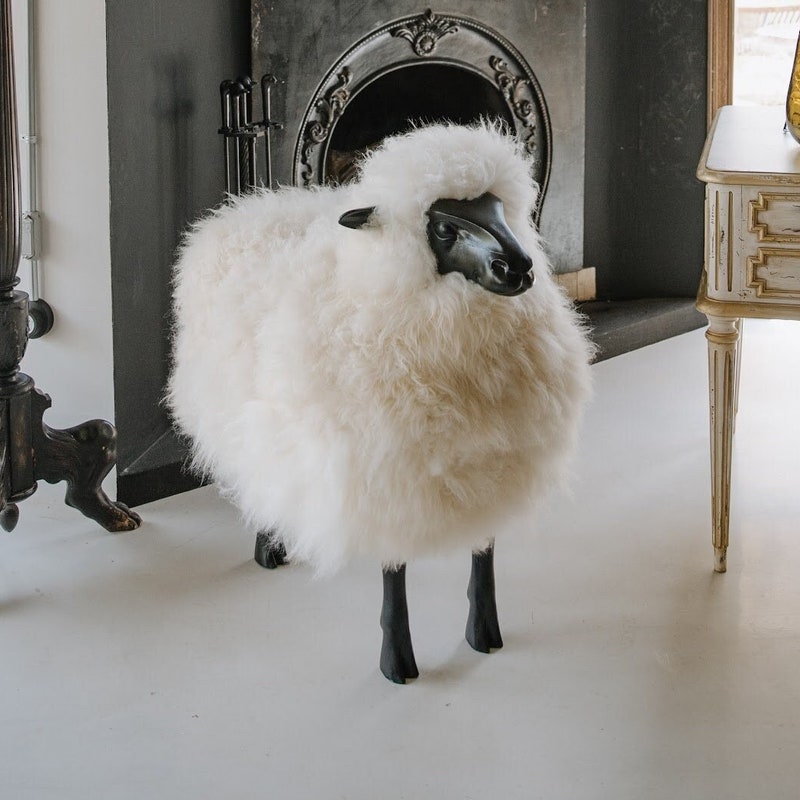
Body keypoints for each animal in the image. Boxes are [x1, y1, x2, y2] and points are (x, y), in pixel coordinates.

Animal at [167, 122, 594, 683]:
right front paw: (397, 659)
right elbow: (395, 572)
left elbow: (483, 553)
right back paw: (268, 547)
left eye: (499, 208)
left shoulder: (492, 461)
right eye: (443, 228)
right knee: (258, 476)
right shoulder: (386, 470)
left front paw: (484, 631)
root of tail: (240, 208)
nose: (520, 266)